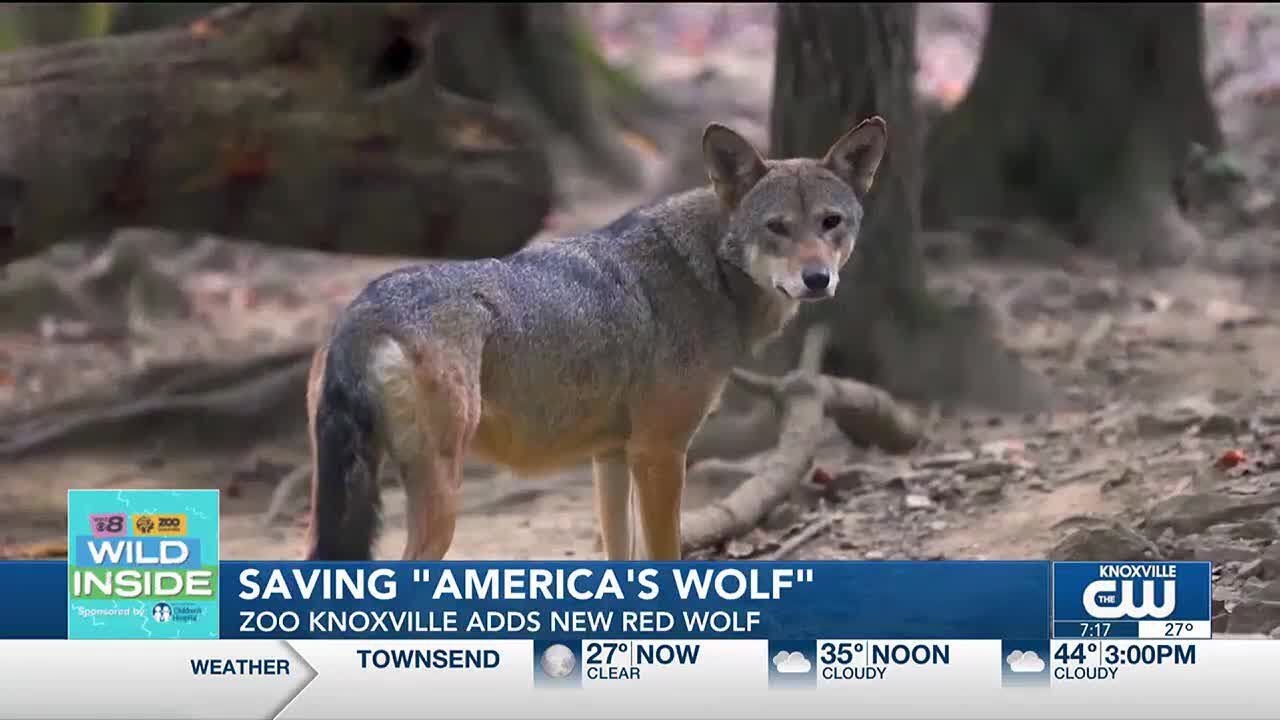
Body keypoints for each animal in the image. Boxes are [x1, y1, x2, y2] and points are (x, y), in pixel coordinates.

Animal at [304, 117, 887, 561]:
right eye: (777, 227)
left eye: (831, 222)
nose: (817, 279)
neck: (707, 274)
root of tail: (363, 312)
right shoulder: (659, 453)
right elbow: (664, 556)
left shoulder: (610, 458)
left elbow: (620, 555)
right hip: (442, 496)